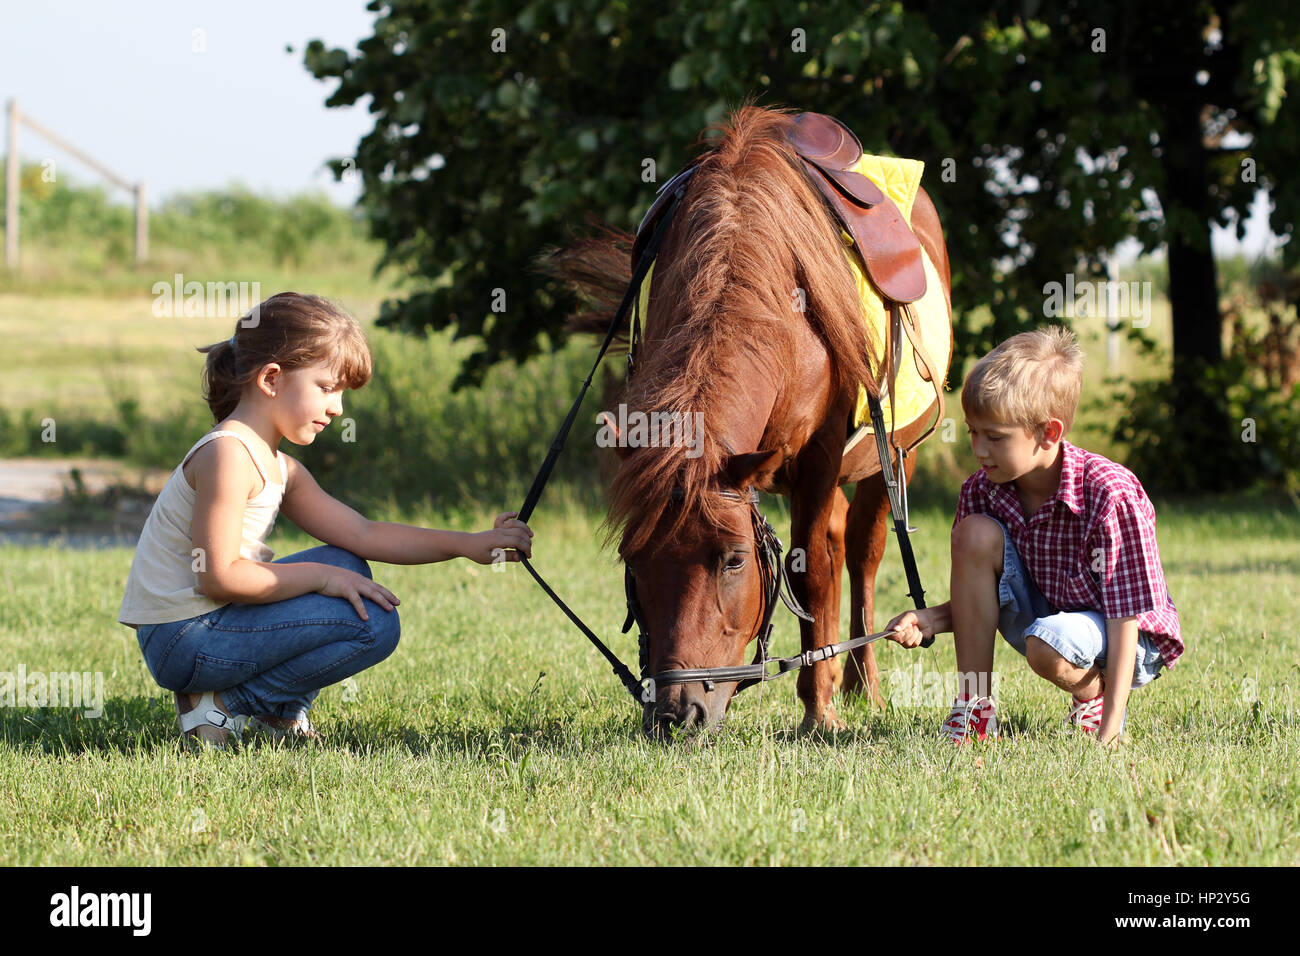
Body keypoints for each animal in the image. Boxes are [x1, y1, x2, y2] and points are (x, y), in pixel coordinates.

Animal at [548, 105, 953, 736]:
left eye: (734, 559)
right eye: (633, 559)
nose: (678, 712)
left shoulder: (820, 458)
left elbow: (812, 572)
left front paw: (818, 712)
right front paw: (819, 694)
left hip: (893, 455)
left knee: (861, 553)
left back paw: (862, 685)